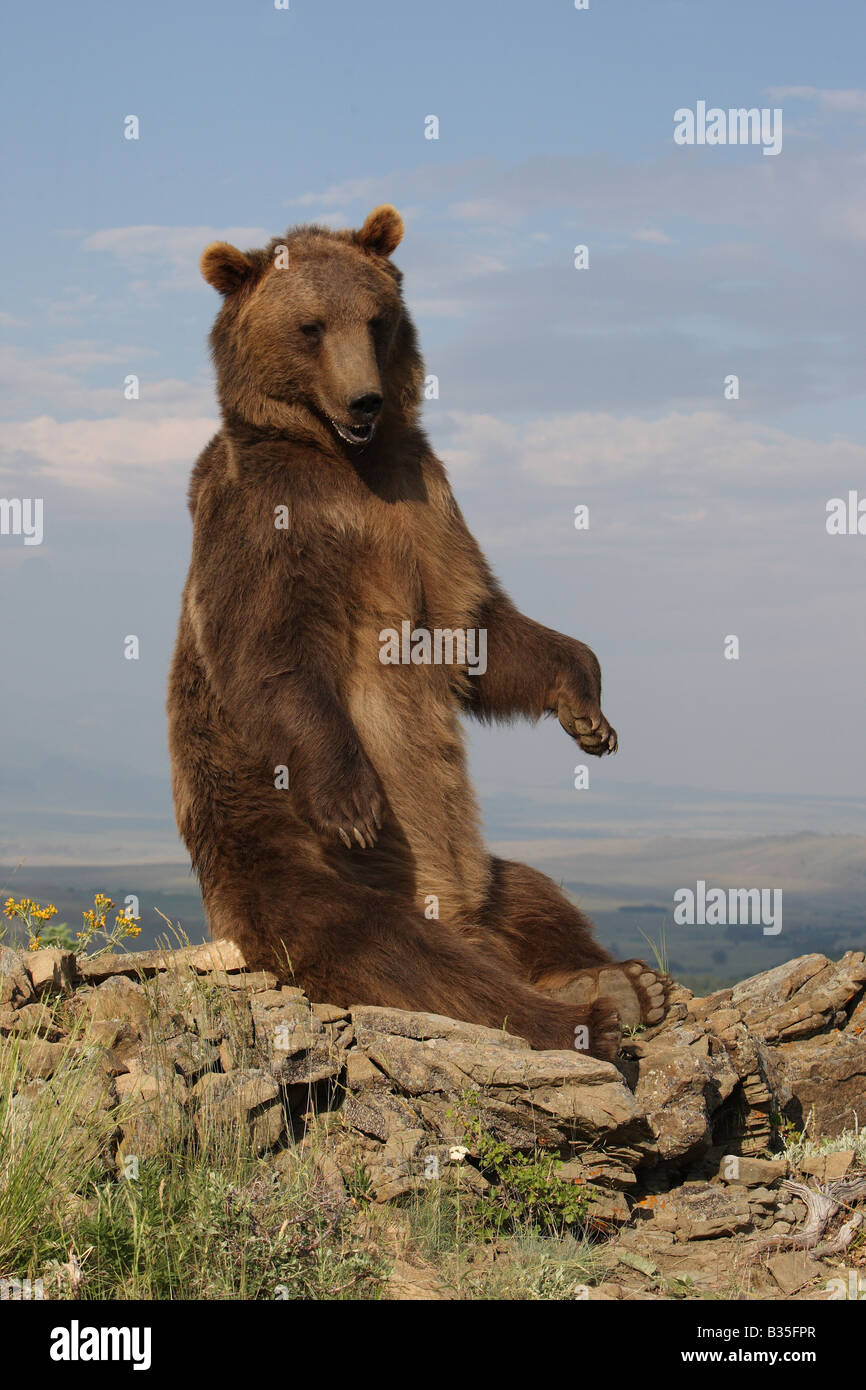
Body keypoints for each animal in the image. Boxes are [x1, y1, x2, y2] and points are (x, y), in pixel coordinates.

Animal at [167, 205, 668, 1060]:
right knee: (401, 954)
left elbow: (478, 630)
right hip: (291, 862)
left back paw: (620, 979)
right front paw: (353, 801)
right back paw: (585, 1016)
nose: (365, 400)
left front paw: (589, 714)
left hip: (484, 875)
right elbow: (270, 655)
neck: (341, 458)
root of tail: (461, 916)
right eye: (309, 325)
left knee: (534, 895)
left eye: (376, 318)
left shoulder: (426, 505)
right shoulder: (262, 518)